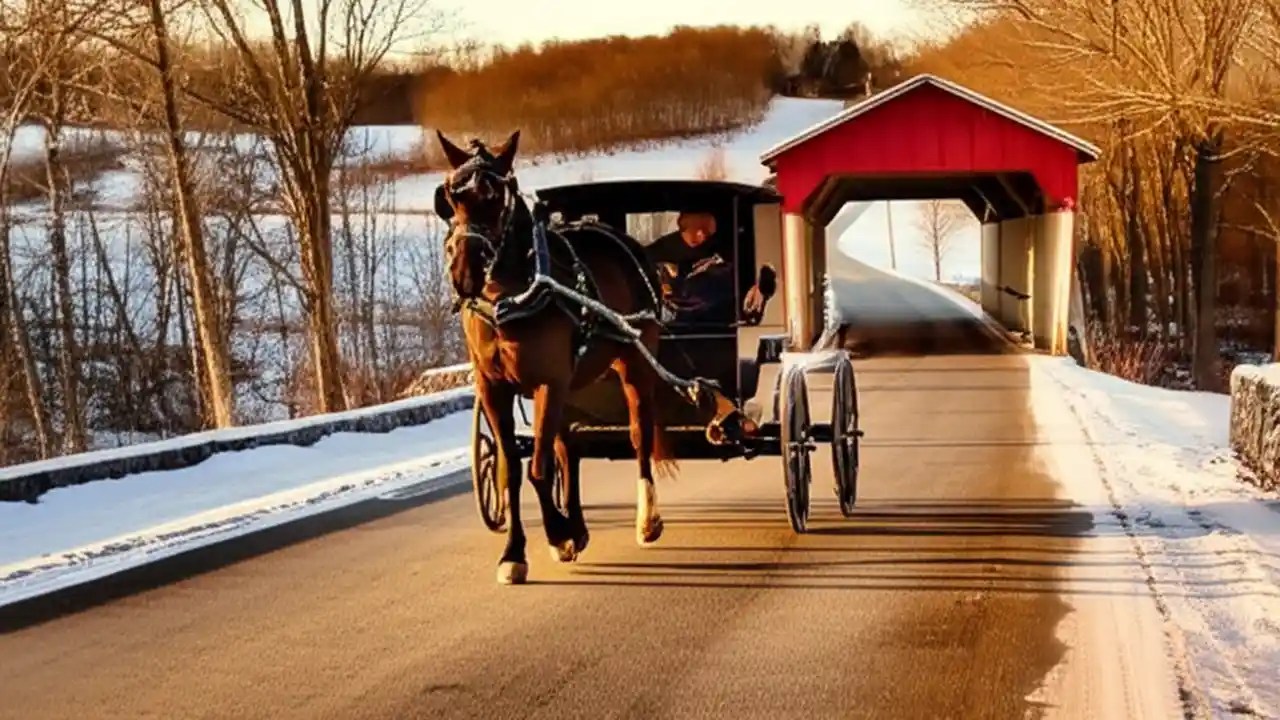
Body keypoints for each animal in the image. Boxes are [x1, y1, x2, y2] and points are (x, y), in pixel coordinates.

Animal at [433, 130, 755, 585]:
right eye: (449, 196)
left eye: (495, 196)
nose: (464, 274)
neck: (508, 302)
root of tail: (623, 241)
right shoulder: (494, 388)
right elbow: (512, 468)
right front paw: (516, 553)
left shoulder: (549, 381)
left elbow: (538, 467)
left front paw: (556, 536)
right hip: (572, 386)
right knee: (569, 446)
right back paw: (578, 526)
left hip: (634, 363)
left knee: (639, 433)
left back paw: (645, 520)